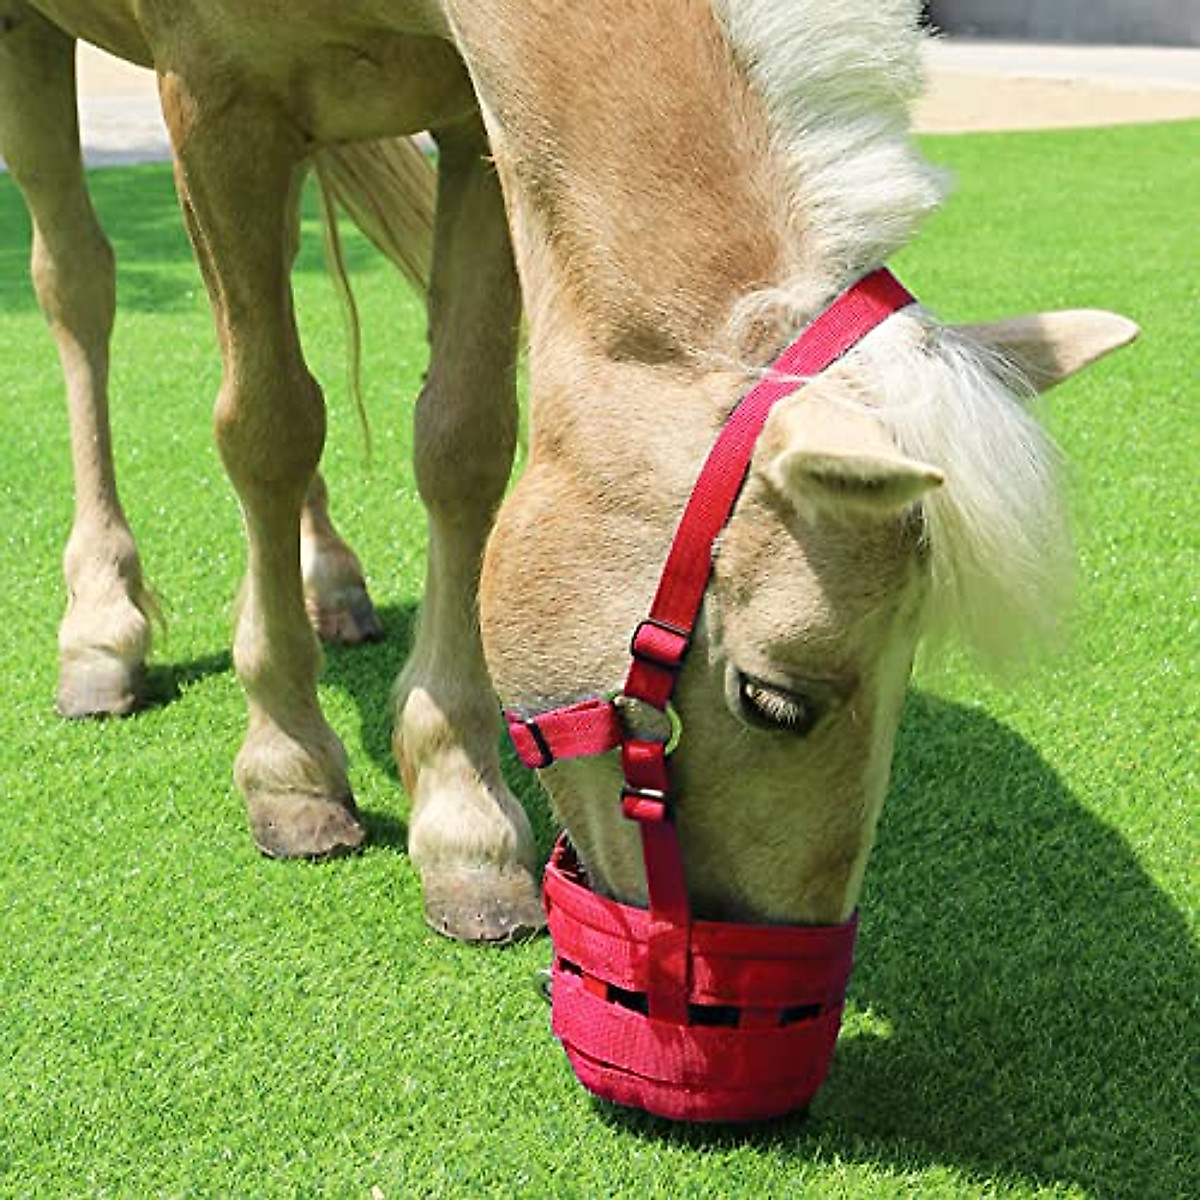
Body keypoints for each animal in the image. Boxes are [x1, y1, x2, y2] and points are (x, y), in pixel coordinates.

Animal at [2, 0, 1135, 962]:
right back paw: (101, 627)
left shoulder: (474, 122)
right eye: (774, 701)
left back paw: (331, 581)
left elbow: (461, 439)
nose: (776, 948)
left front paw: (460, 813)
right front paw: (289, 764)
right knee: (80, 284)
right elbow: (269, 427)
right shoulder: (215, 95)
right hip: (40, 47)